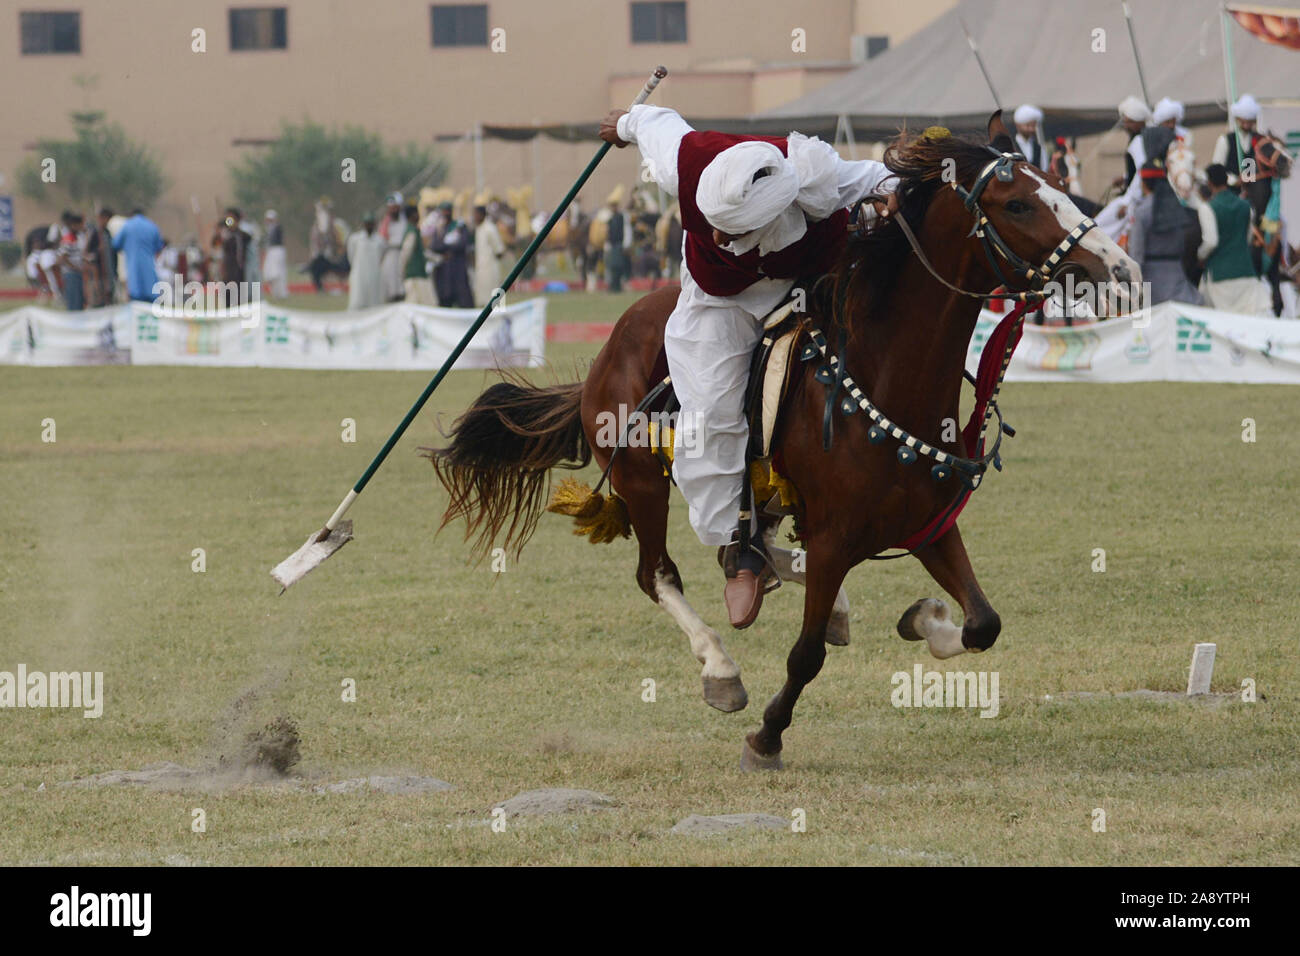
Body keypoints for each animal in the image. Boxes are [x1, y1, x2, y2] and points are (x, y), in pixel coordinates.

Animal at [427, 113, 1141, 770]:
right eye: (1016, 203)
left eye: (1058, 186)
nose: (1122, 272)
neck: (883, 380)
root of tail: (609, 349)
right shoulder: (834, 538)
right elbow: (806, 654)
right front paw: (766, 736)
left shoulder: (928, 524)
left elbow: (982, 623)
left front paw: (924, 620)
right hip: (642, 481)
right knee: (661, 570)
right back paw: (721, 666)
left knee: (746, 543)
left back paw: (782, 584)